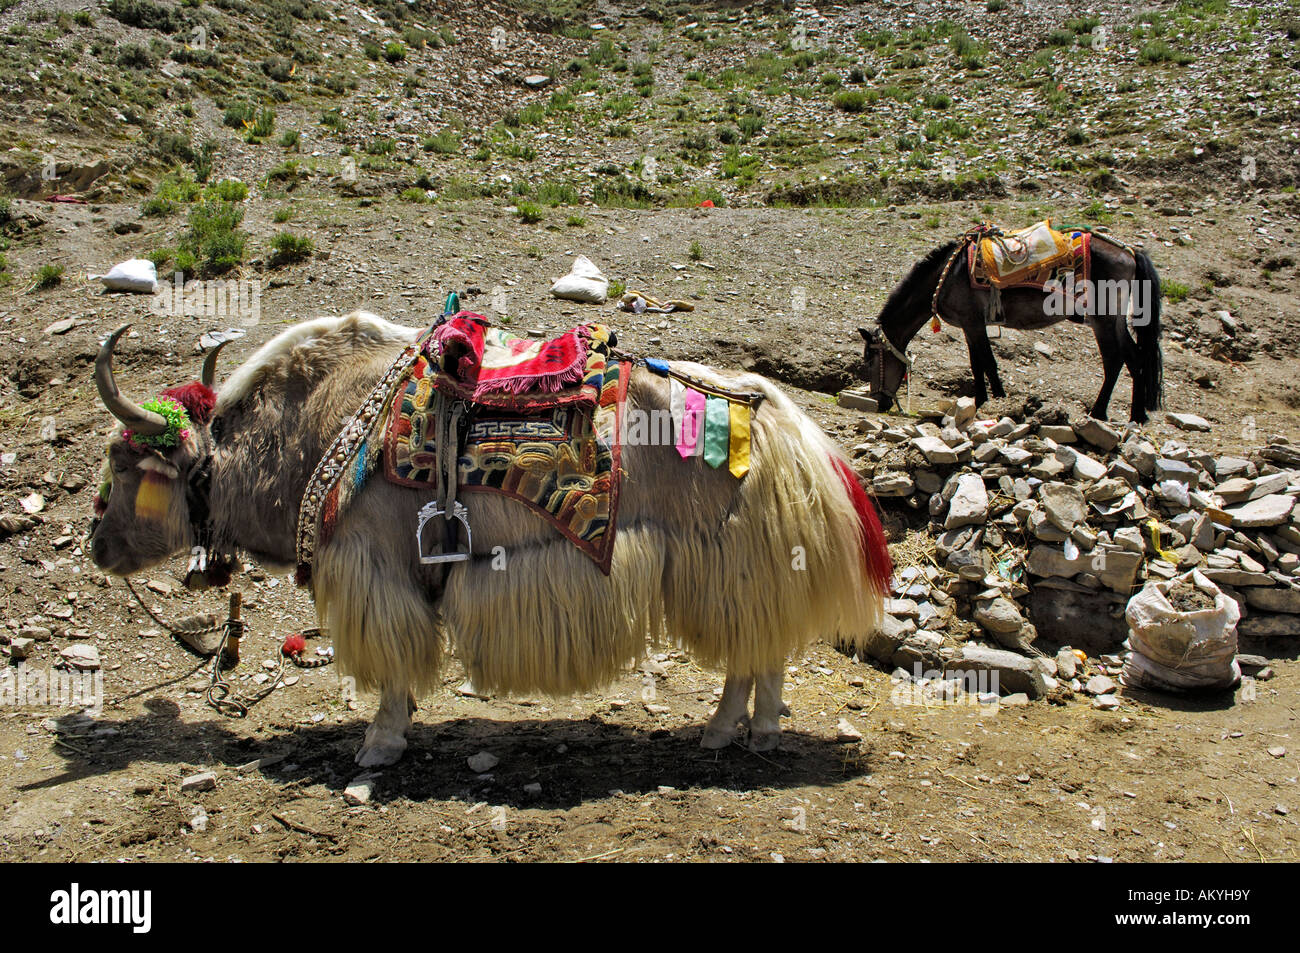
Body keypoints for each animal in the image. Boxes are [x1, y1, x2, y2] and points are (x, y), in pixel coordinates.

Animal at [858, 227, 1164, 422]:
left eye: (871, 359)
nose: (880, 401)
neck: (945, 276)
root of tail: (1131, 253)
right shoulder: (970, 325)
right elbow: (977, 363)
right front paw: (982, 400)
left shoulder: (972, 322)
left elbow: (986, 362)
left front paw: (997, 401)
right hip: (1116, 322)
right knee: (1136, 359)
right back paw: (1137, 415)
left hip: (1103, 319)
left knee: (1114, 361)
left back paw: (1099, 412)